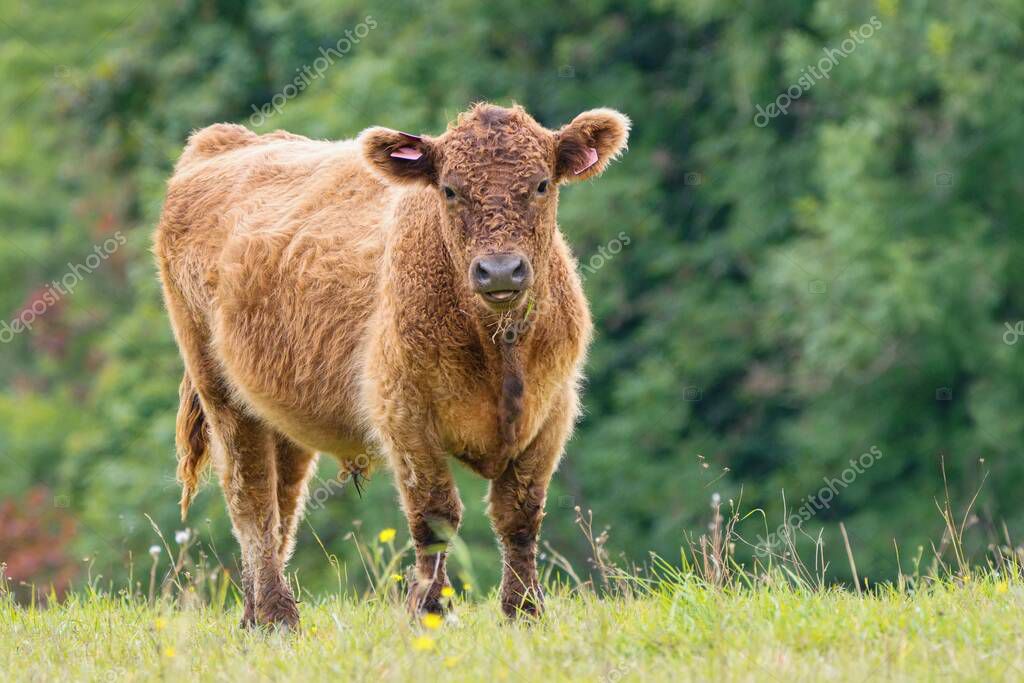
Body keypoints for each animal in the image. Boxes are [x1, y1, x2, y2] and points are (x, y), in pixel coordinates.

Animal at [153, 102, 630, 628]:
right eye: (449, 189)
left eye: (542, 183)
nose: (501, 270)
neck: (497, 347)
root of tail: (223, 140)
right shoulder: (403, 412)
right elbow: (436, 516)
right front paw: (429, 612)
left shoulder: (551, 412)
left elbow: (519, 516)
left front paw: (524, 612)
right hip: (219, 390)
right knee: (252, 502)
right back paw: (279, 616)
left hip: (279, 410)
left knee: (282, 504)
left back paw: (254, 617)